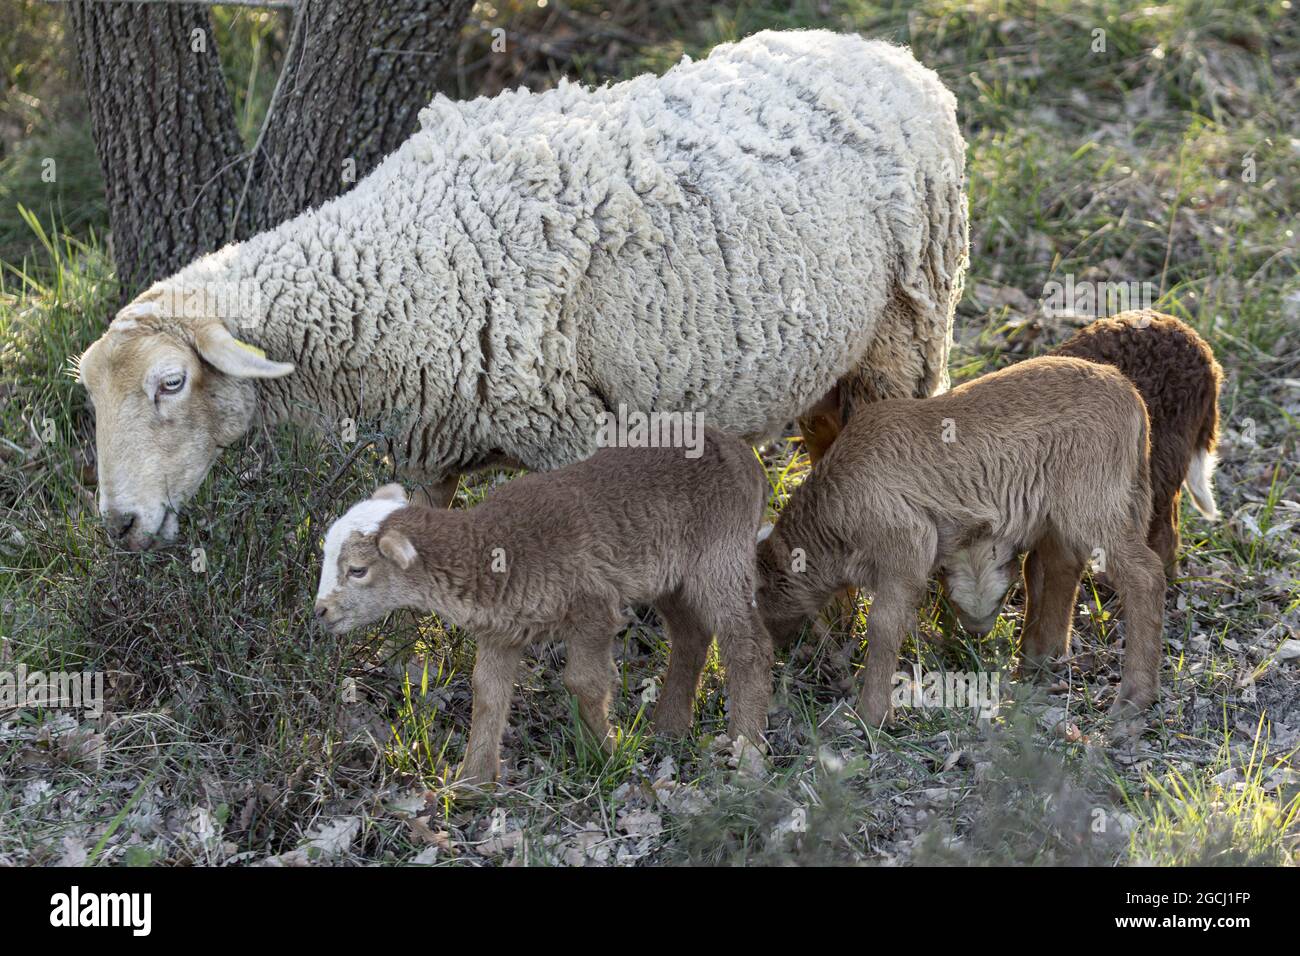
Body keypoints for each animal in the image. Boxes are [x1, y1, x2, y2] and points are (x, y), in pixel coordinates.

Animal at [75, 29, 967, 551]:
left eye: (170, 382)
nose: (119, 524)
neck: (396, 258)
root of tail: (891, 53)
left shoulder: (575, 435)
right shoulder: (429, 448)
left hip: (906, 334)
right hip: (830, 354)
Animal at [313, 428, 772, 787]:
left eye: (357, 570)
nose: (320, 612)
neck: (491, 546)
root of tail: (742, 452)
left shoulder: (592, 607)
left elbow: (583, 682)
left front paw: (609, 753)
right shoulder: (502, 630)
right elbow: (488, 694)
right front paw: (472, 781)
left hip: (721, 553)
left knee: (748, 645)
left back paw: (747, 750)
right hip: (670, 575)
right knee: (692, 636)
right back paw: (670, 729)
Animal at [756, 356, 1167, 727]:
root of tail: (1129, 393)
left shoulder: (907, 545)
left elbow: (884, 625)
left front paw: (872, 715)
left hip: (1091, 500)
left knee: (1144, 575)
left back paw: (1133, 697)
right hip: (1063, 510)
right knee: (1060, 567)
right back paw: (1039, 661)